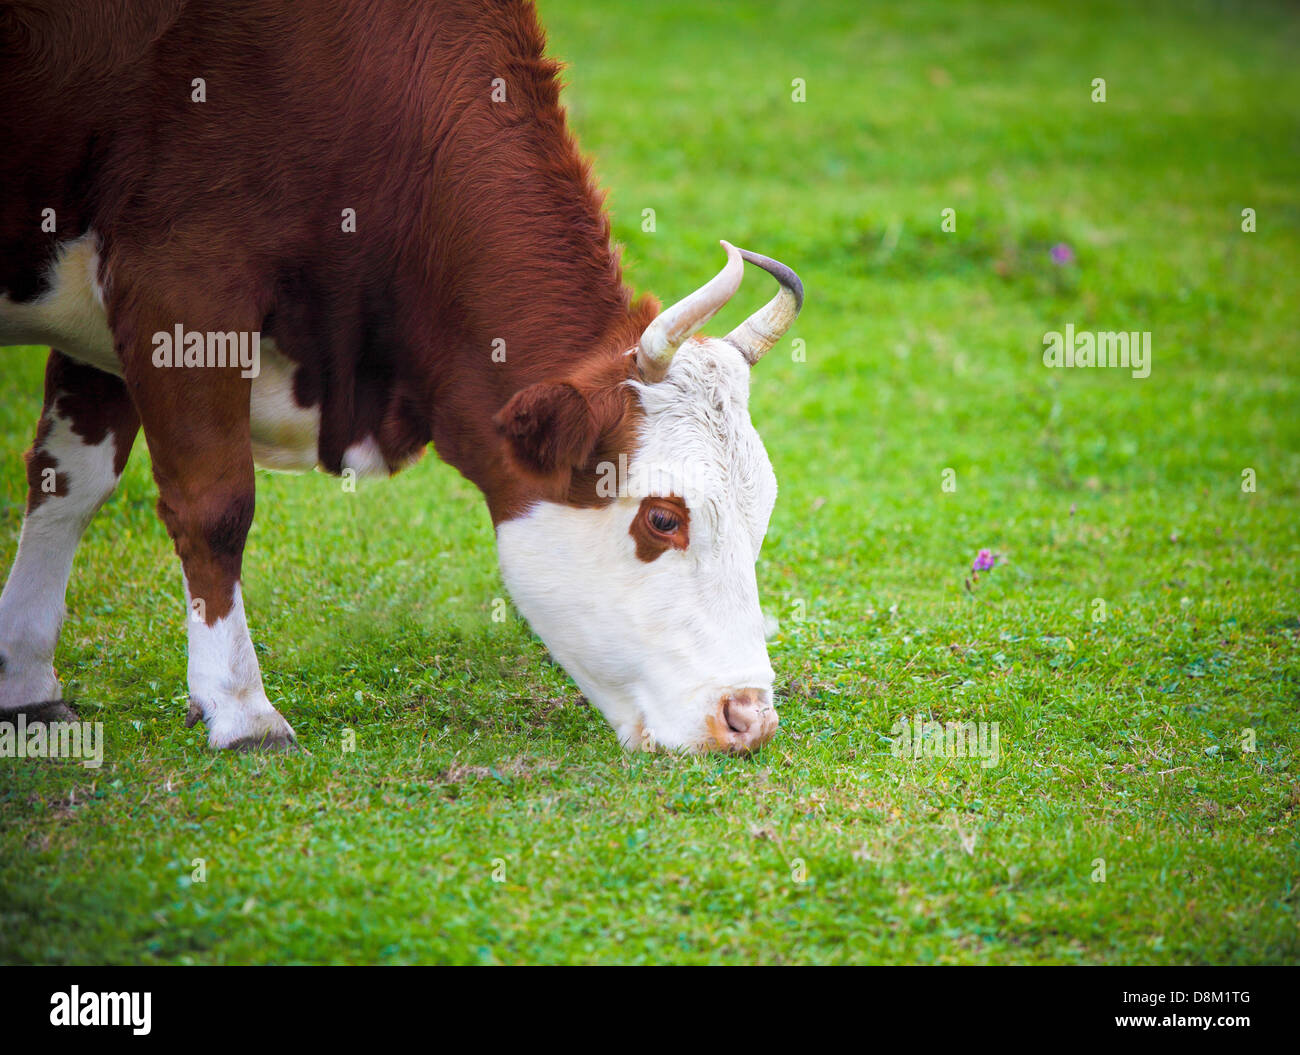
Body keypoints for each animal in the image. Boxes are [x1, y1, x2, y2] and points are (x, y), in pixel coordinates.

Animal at [0, 0, 803, 755]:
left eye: (763, 511)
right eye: (664, 518)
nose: (748, 717)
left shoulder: (106, 327)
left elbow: (68, 484)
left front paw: (26, 681)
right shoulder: (179, 284)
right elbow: (214, 504)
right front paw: (240, 708)